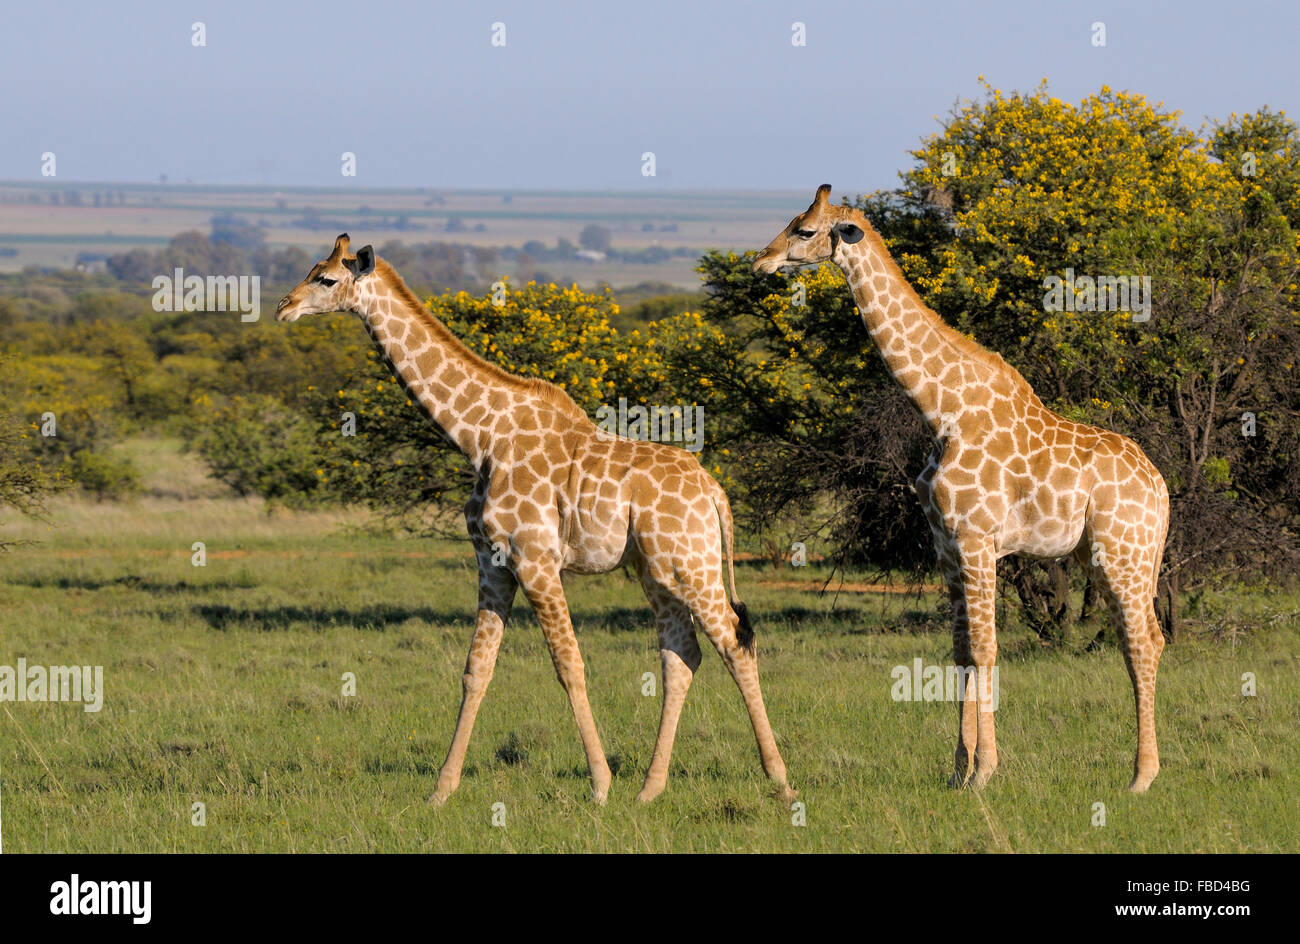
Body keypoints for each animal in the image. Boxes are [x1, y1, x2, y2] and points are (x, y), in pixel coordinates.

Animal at [276, 234, 794, 804]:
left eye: (325, 279)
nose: (283, 307)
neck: (479, 437)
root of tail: (715, 490)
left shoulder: (536, 559)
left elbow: (569, 664)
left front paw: (600, 784)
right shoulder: (492, 563)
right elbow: (476, 668)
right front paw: (442, 790)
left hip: (692, 563)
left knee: (734, 643)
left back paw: (779, 778)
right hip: (655, 569)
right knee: (682, 654)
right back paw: (650, 789)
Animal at [754, 187, 1170, 792]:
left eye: (805, 230)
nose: (759, 261)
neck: (942, 411)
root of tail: (1162, 488)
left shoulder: (978, 539)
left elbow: (987, 648)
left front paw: (986, 771)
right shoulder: (946, 544)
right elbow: (961, 651)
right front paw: (959, 769)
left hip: (1123, 552)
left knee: (1142, 640)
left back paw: (1142, 776)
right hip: (1107, 554)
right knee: (1140, 635)